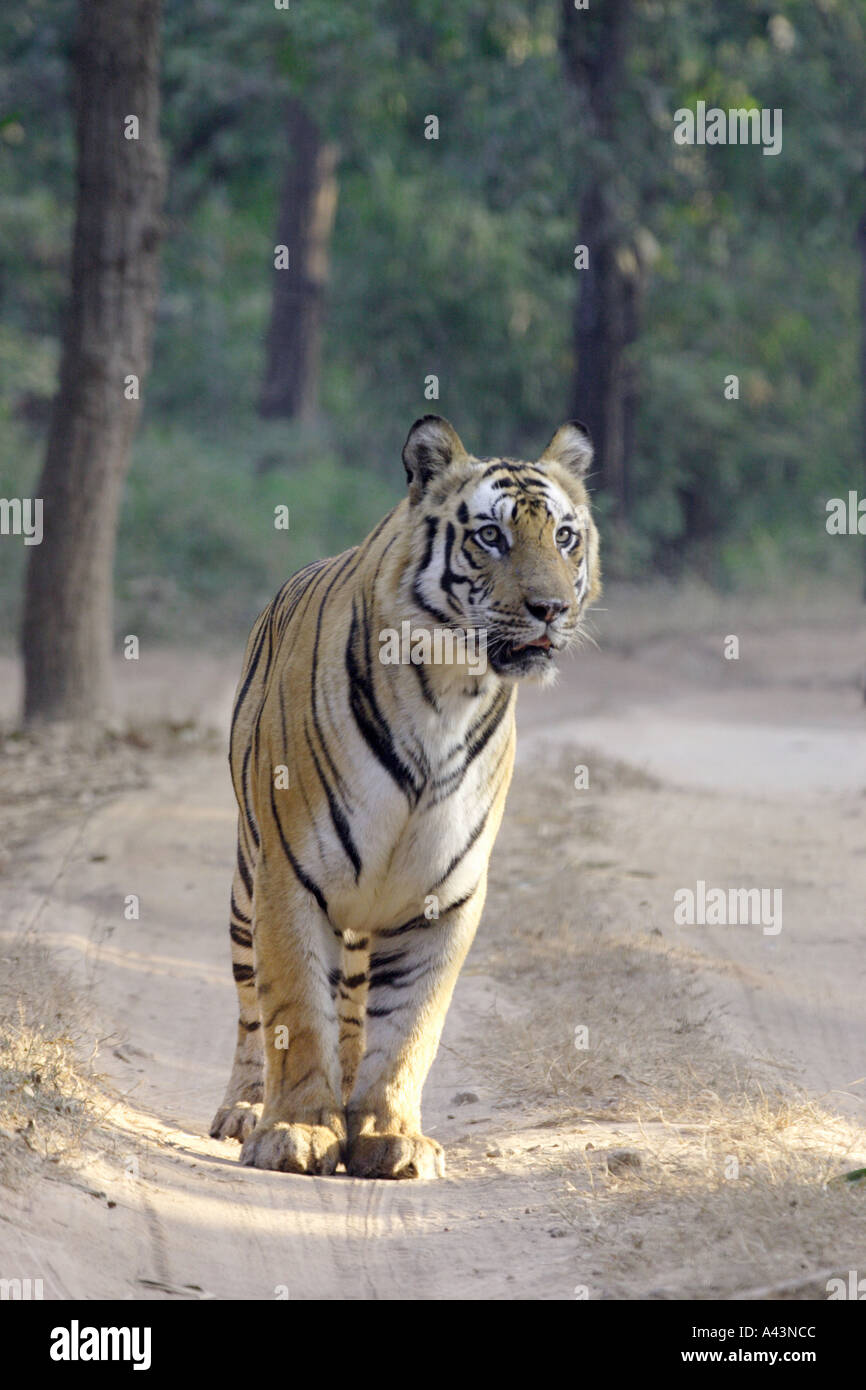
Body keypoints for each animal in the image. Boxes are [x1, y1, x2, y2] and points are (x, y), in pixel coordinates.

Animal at [210, 414, 601, 1179]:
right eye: (491, 535)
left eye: (565, 536)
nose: (551, 609)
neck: (449, 692)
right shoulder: (290, 877)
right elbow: (295, 1011)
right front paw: (298, 1130)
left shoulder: (443, 895)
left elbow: (411, 1025)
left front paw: (388, 1134)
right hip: (246, 884)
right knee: (251, 1012)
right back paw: (245, 1110)